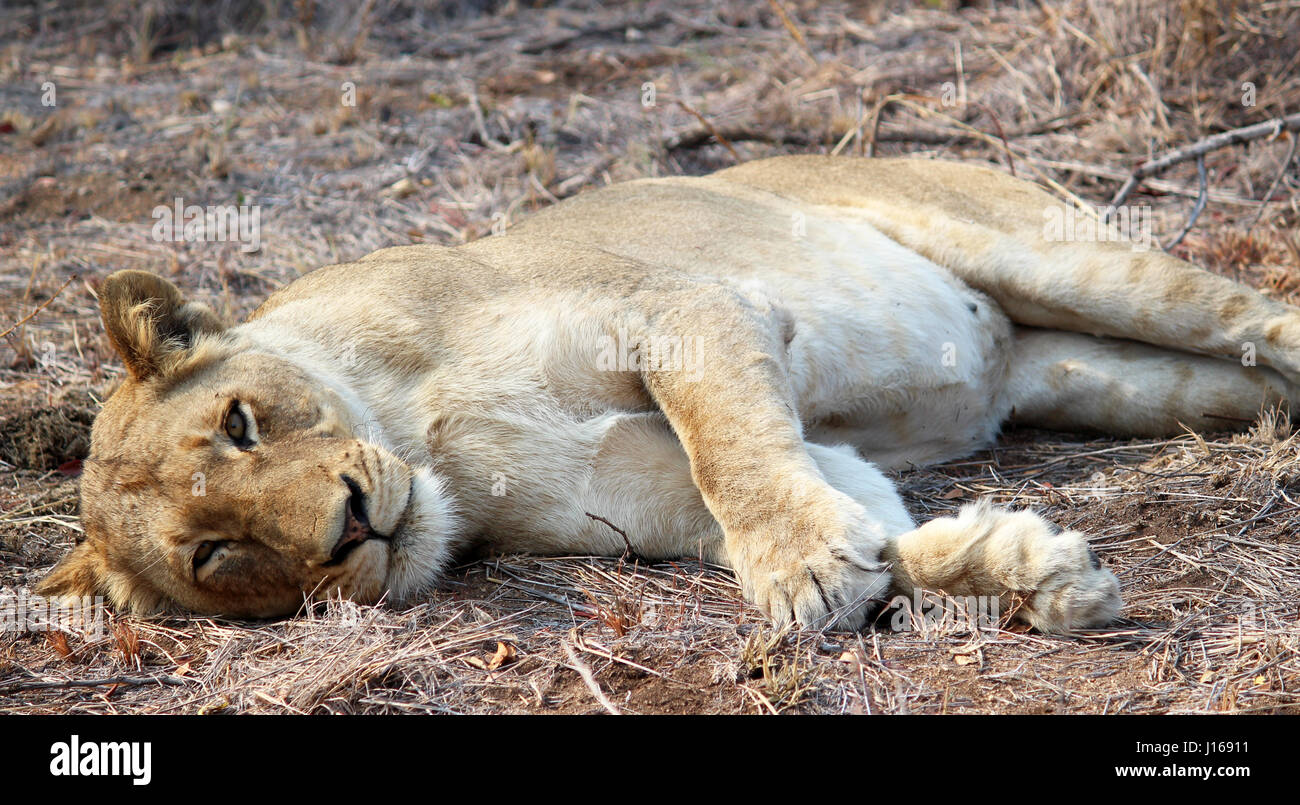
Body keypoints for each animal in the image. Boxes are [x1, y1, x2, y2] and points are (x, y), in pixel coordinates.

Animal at [36, 156, 1300, 633]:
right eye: (215, 555)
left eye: (240, 423)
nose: (350, 524)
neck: (428, 439)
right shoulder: (637, 495)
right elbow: (869, 519)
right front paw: (1024, 568)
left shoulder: (678, 305)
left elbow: (732, 448)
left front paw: (803, 571)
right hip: (1100, 379)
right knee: (1205, 380)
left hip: (1053, 256)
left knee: (1257, 316)